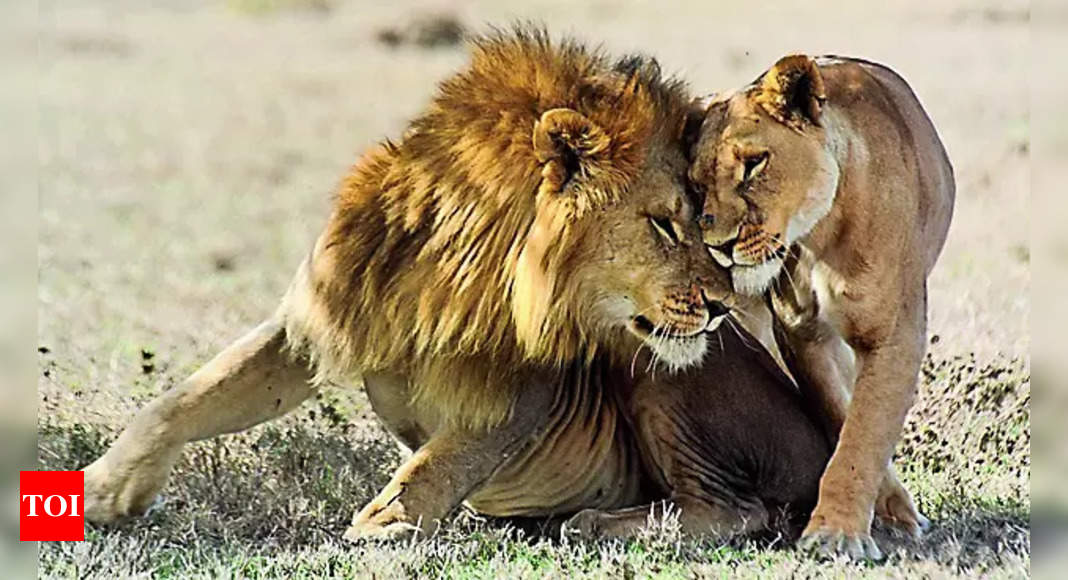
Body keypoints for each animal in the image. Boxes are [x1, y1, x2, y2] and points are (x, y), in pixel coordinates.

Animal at [80, 30, 832, 542]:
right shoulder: (313, 320)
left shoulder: (526, 388)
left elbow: (439, 461)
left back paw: (598, 521)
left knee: (741, 508)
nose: (723, 305)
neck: (450, 273)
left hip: (657, 373)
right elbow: (186, 398)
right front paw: (105, 490)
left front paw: (383, 523)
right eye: (667, 224)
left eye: (699, 217)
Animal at [687, 54, 955, 559]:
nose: (719, 246)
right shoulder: (799, 333)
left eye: (754, 164)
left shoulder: (893, 335)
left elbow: (864, 434)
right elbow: (842, 415)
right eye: (696, 185)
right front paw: (866, 515)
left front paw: (837, 535)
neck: (820, 234)